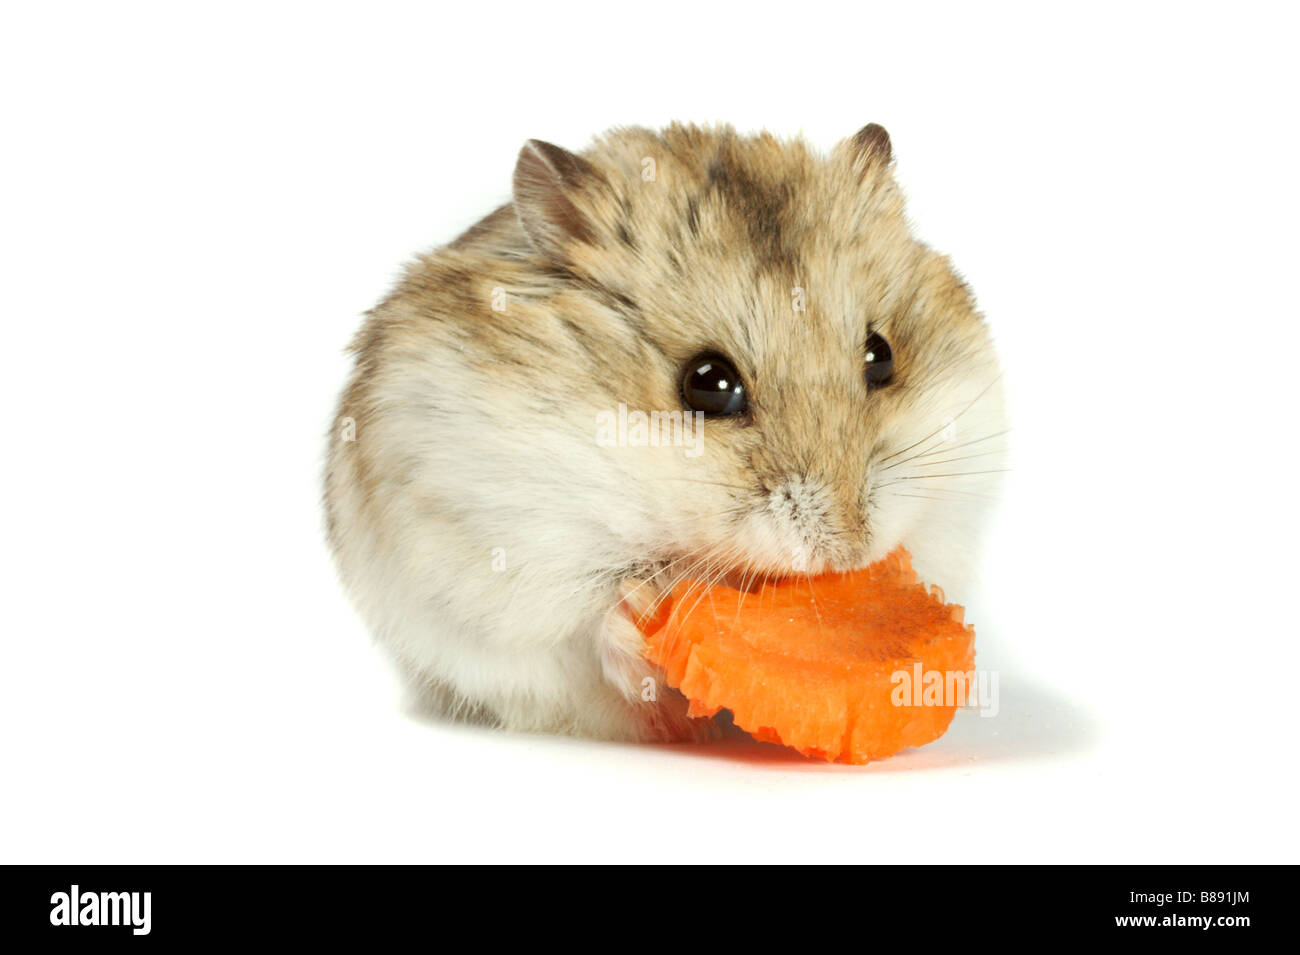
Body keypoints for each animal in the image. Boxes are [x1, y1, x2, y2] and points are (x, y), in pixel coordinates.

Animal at [324, 123, 1006, 742]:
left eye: (880, 356)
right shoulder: (495, 535)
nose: (850, 550)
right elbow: (583, 619)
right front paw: (640, 617)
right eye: (708, 383)